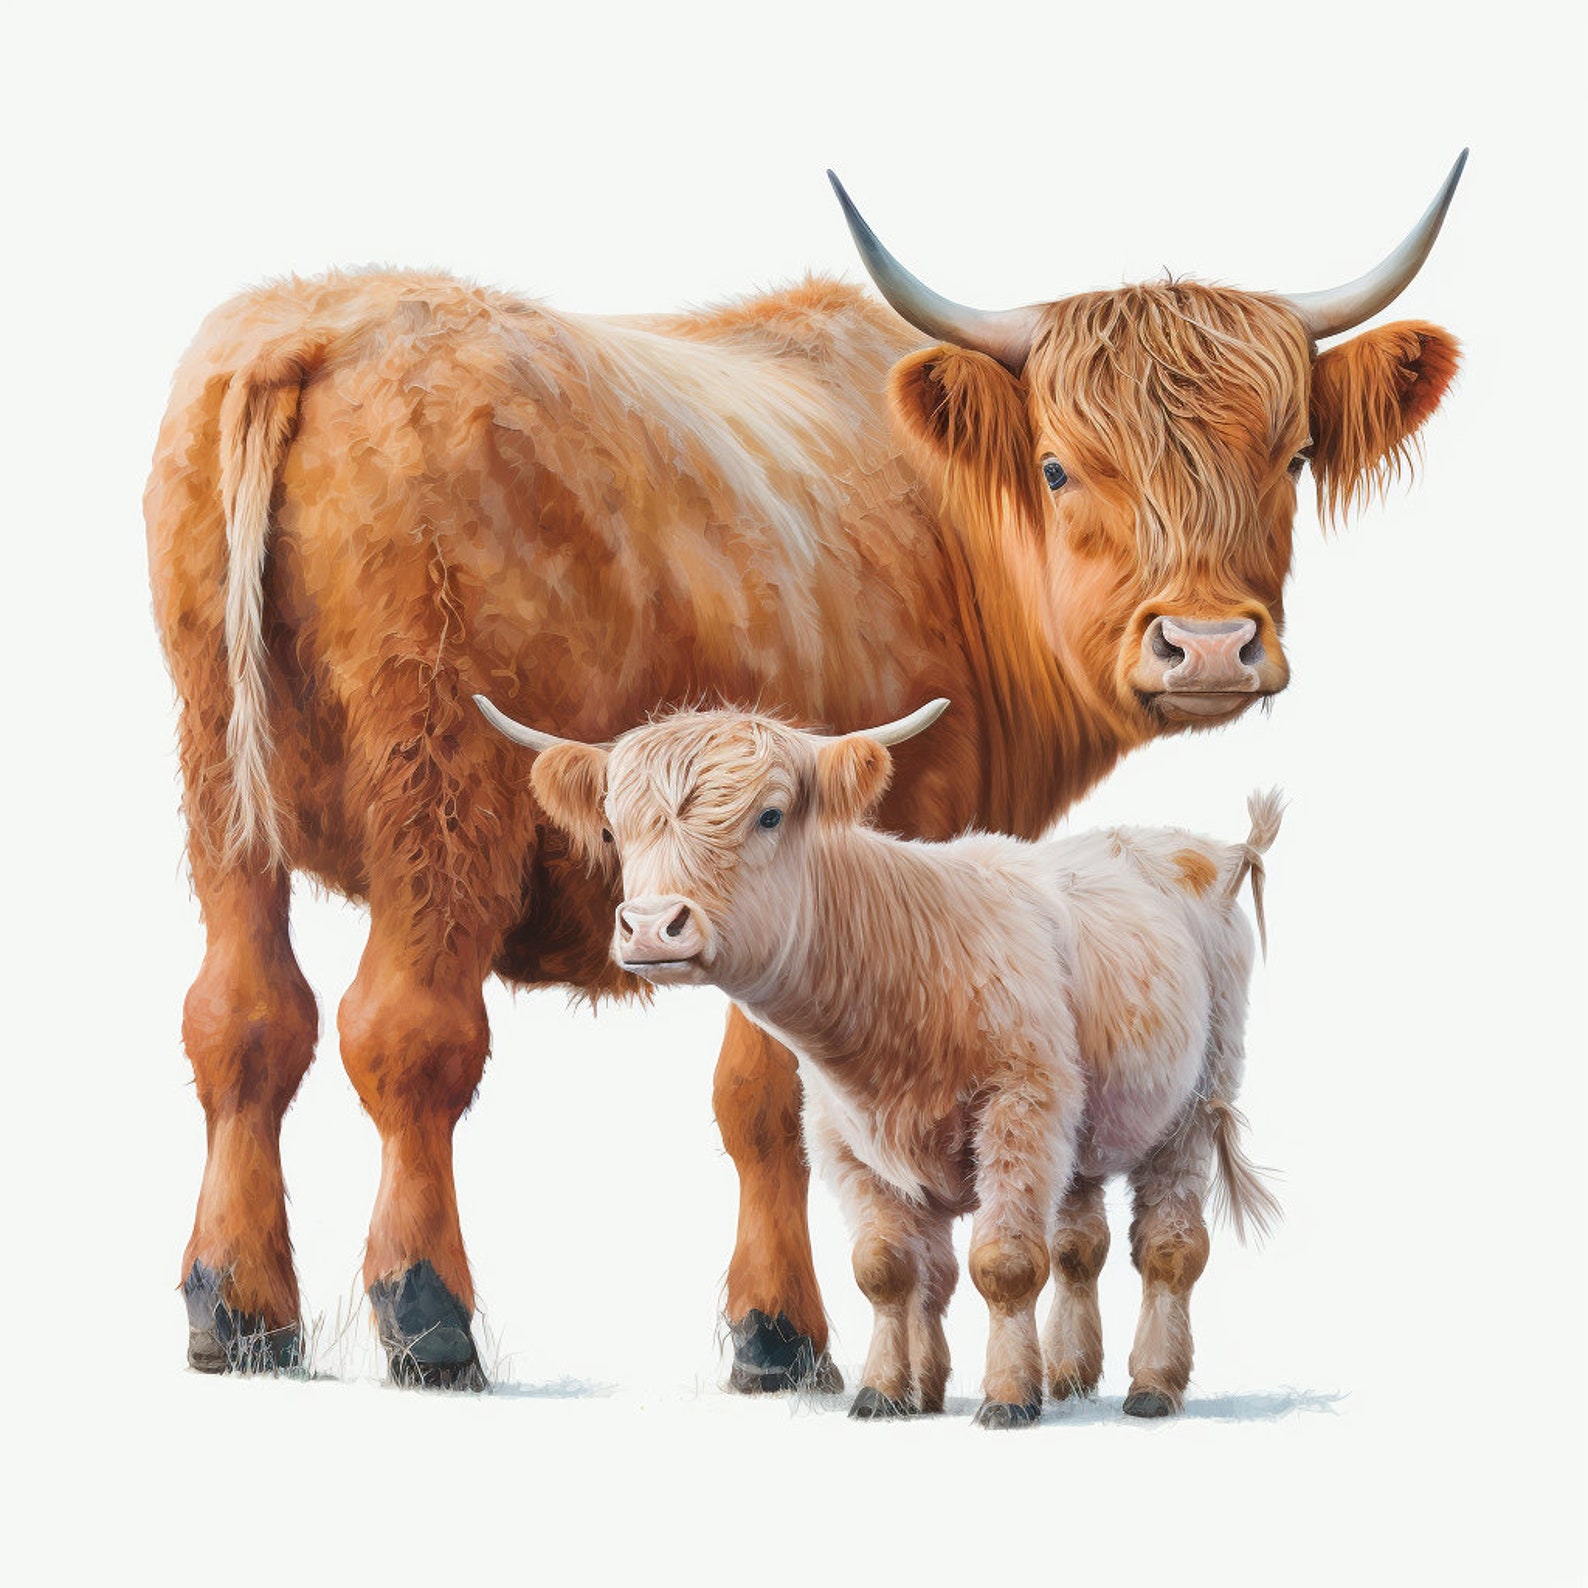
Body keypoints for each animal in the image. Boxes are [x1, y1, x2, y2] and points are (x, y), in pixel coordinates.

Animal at [509, 699, 1284, 1424]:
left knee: (1167, 1247)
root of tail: (1200, 847)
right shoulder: (846, 1139)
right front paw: (896, 1391)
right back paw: (1068, 1374)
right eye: (612, 829)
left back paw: (1152, 1385)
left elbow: (1003, 1263)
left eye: (769, 816)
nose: (650, 927)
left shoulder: (1018, 1109)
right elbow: (893, 1272)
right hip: (1082, 1123)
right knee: (1078, 1244)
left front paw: (1007, 1397)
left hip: (1195, 1103)